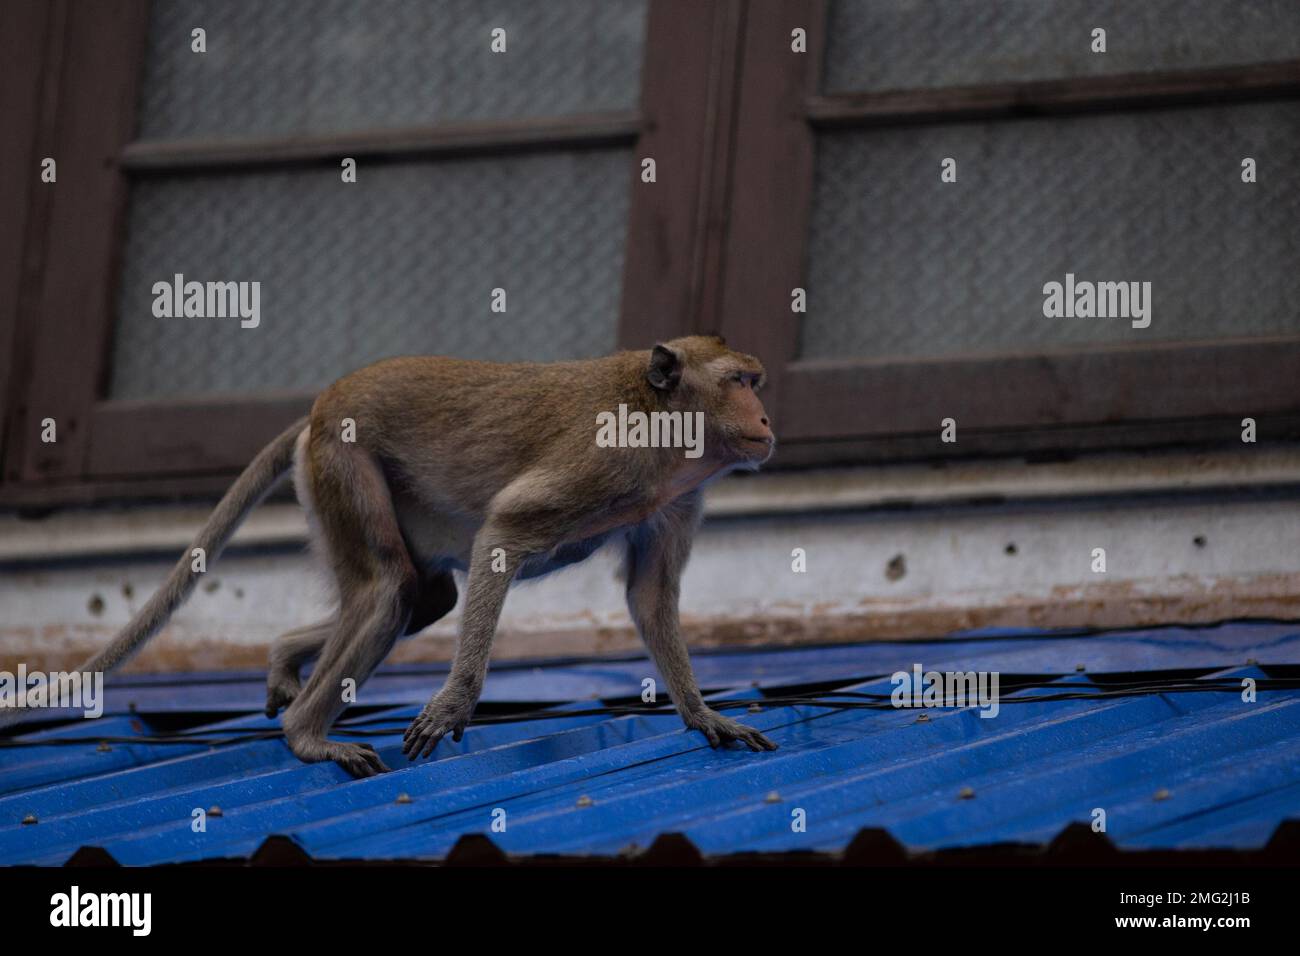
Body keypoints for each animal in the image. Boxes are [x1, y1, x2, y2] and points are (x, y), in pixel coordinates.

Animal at [0, 336, 779, 777]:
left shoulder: (677, 500)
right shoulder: (607, 461)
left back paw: (285, 658)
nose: (768, 418)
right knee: (388, 590)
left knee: (421, 595)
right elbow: (503, 535)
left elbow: (649, 597)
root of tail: (317, 408)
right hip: (344, 461)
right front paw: (455, 703)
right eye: (739, 382)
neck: (664, 425)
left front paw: (704, 717)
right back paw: (306, 735)